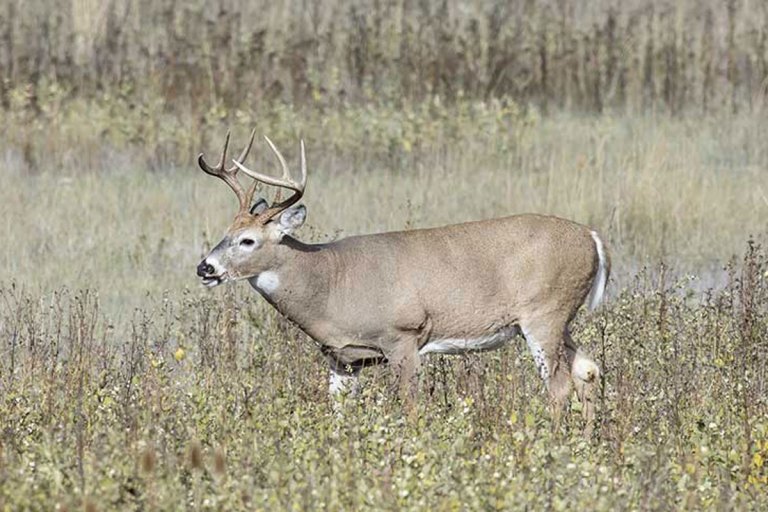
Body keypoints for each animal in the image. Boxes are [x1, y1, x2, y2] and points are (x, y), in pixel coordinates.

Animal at [195, 130, 610, 435]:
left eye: (248, 240)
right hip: (559, 319)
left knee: (559, 385)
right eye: (225, 233)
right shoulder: (342, 358)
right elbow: (338, 414)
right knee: (588, 370)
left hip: (544, 314)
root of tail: (593, 238)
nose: (205, 268)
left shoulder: (404, 336)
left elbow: (412, 407)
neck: (331, 281)